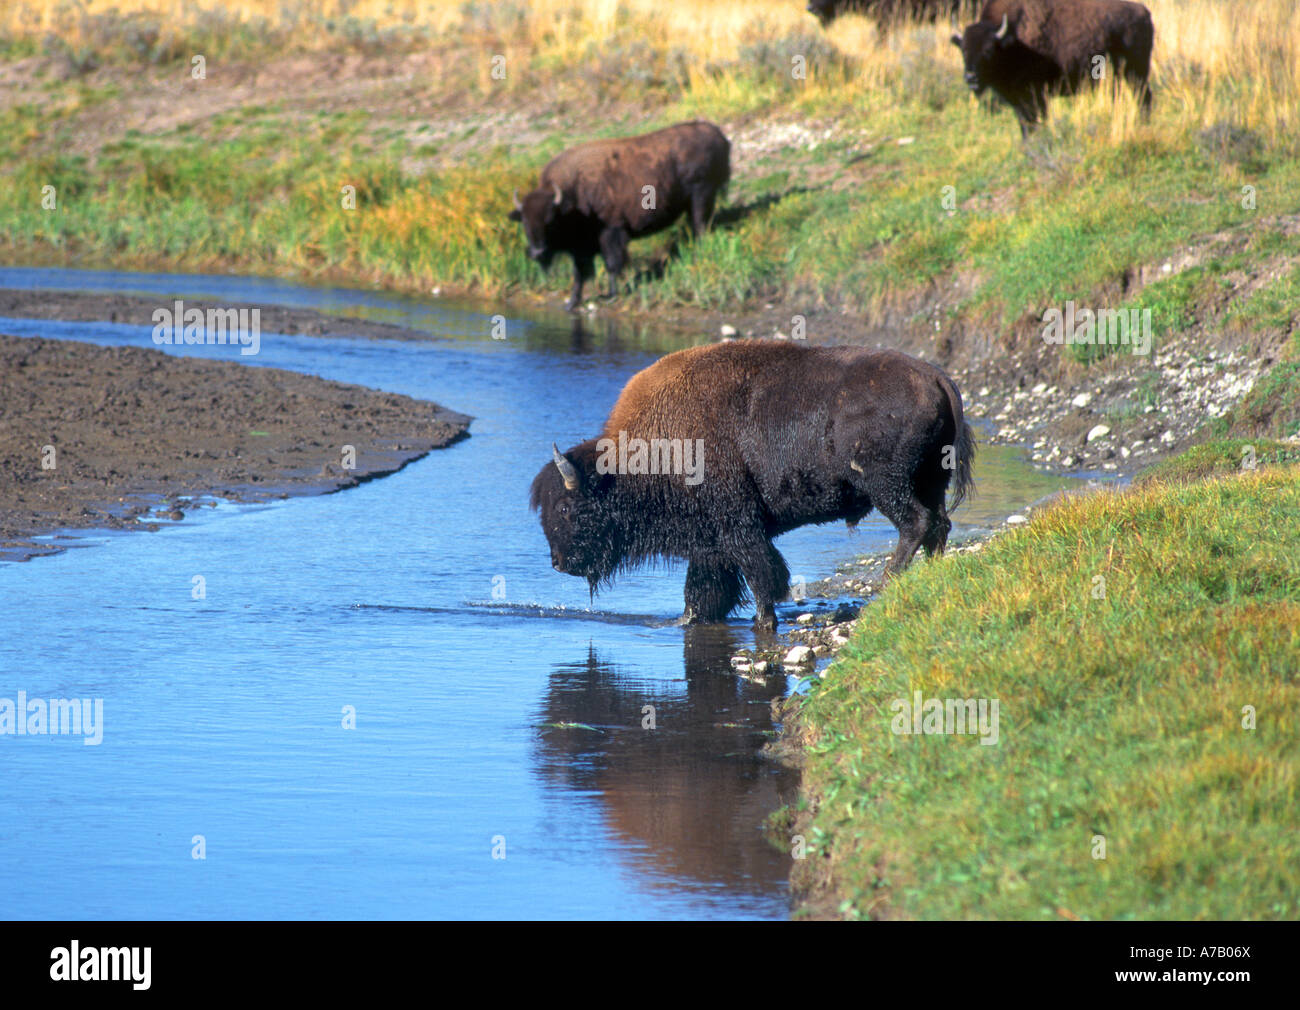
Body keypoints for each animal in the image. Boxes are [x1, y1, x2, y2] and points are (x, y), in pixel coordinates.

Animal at [508, 121, 730, 311]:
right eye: (524, 222)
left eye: (550, 221)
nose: (538, 253)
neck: (572, 195)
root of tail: (717, 134)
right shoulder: (581, 248)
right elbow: (580, 274)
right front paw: (571, 303)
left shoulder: (611, 233)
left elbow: (611, 265)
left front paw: (612, 295)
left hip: (701, 196)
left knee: (700, 226)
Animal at [531, 340, 975, 632]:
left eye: (566, 508)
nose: (557, 562)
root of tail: (936, 378)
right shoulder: (710, 543)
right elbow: (704, 591)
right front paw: (687, 620)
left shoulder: (738, 529)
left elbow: (763, 576)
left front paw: (764, 622)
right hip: (929, 480)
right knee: (939, 526)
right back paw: (928, 578)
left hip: (887, 485)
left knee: (916, 524)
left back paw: (886, 583)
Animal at [951, 0, 1154, 136]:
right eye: (963, 50)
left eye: (988, 50)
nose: (971, 77)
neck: (1011, 39)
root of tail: (1144, 12)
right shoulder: (1019, 100)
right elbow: (1024, 123)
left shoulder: (1036, 95)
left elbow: (1035, 121)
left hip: (1136, 72)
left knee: (1144, 98)